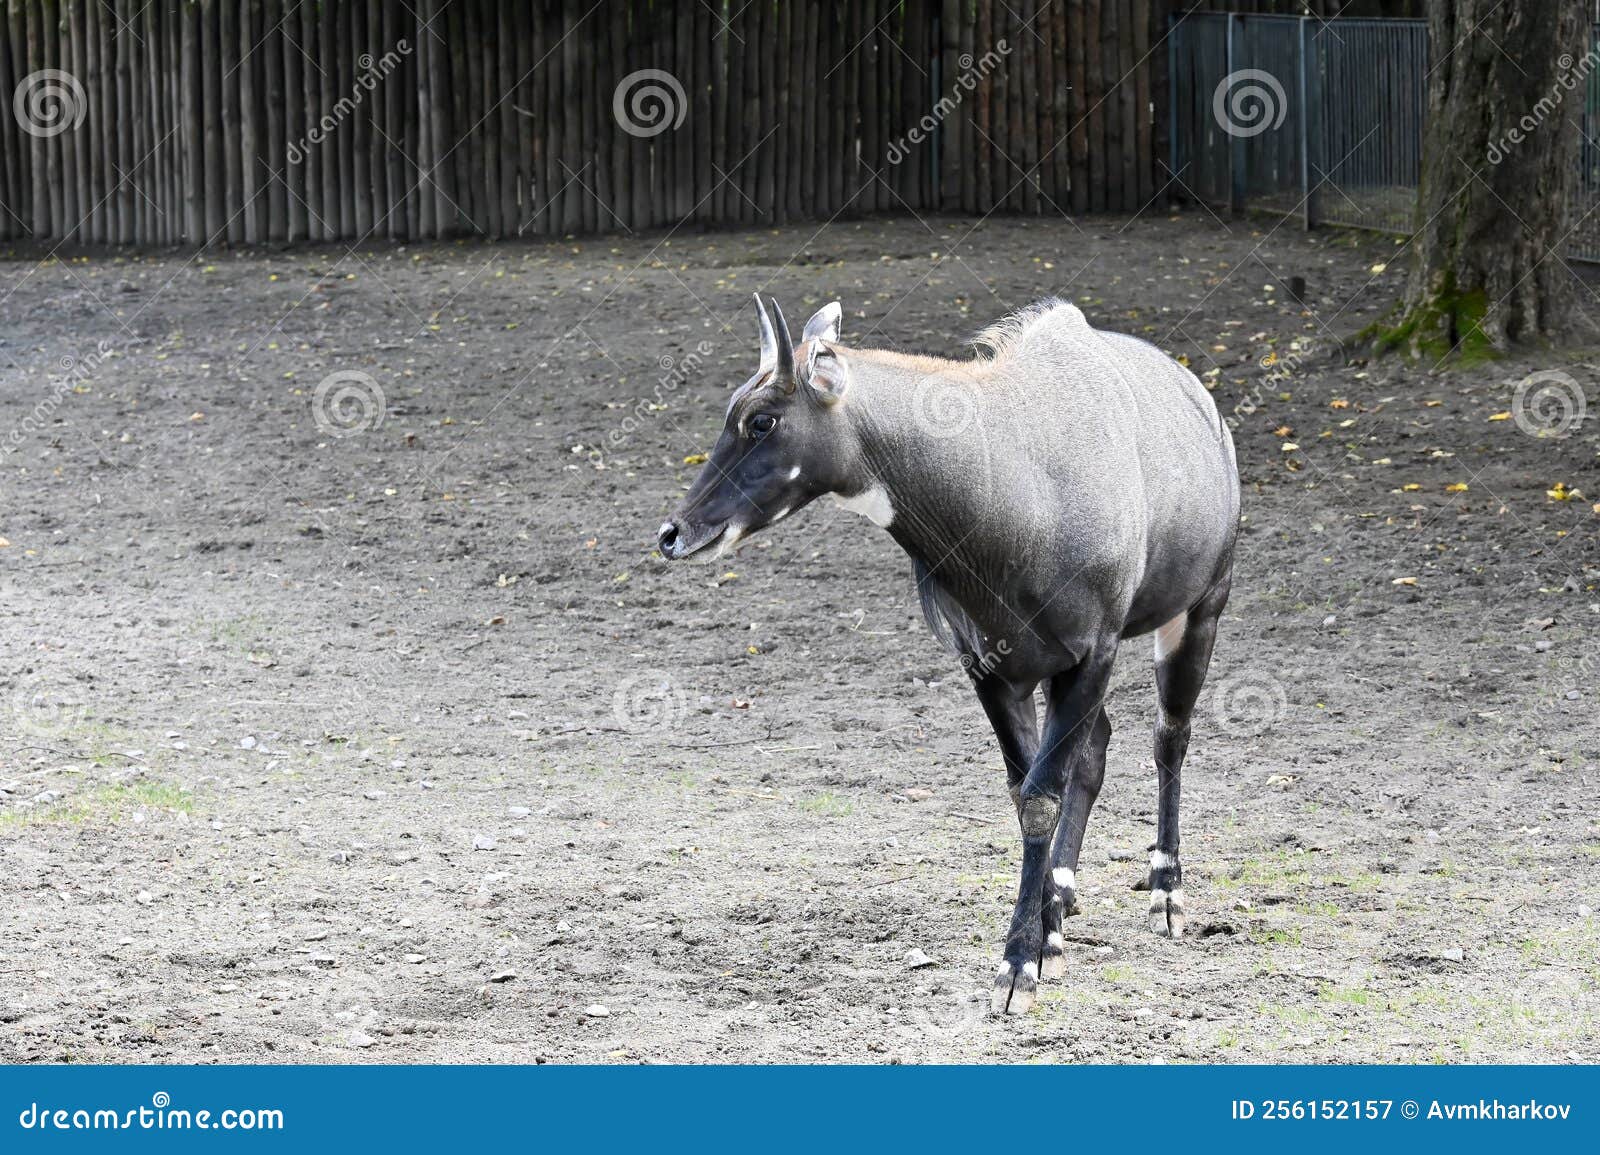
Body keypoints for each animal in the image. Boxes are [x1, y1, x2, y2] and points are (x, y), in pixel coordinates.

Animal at [657, 295, 1240, 1014]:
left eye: (762, 420)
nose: (673, 533)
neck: (1022, 487)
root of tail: (1201, 399)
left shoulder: (1093, 652)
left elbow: (1043, 795)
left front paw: (1017, 968)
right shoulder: (994, 667)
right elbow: (1028, 791)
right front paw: (1041, 938)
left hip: (1200, 609)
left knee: (1169, 738)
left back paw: (1166, 895)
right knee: (1096, 750)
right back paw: (1063, 898)